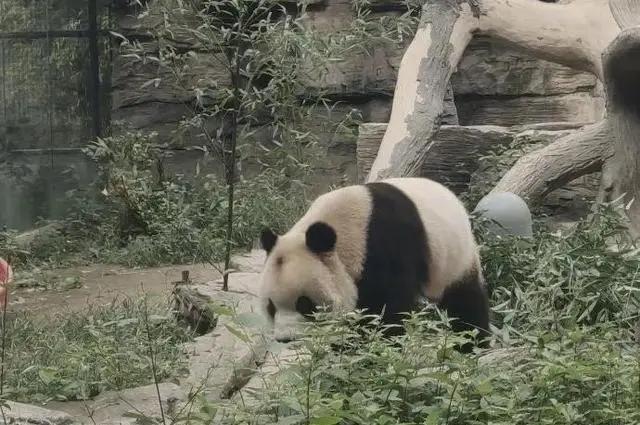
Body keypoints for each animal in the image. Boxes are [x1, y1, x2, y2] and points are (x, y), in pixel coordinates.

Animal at [258, 177, 490, 352]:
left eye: (305, 304)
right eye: (271, 307)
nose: (286, 338)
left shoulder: (386, 248)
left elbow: (386, 310)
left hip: (454, 258)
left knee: (464, 301)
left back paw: (471, 345)